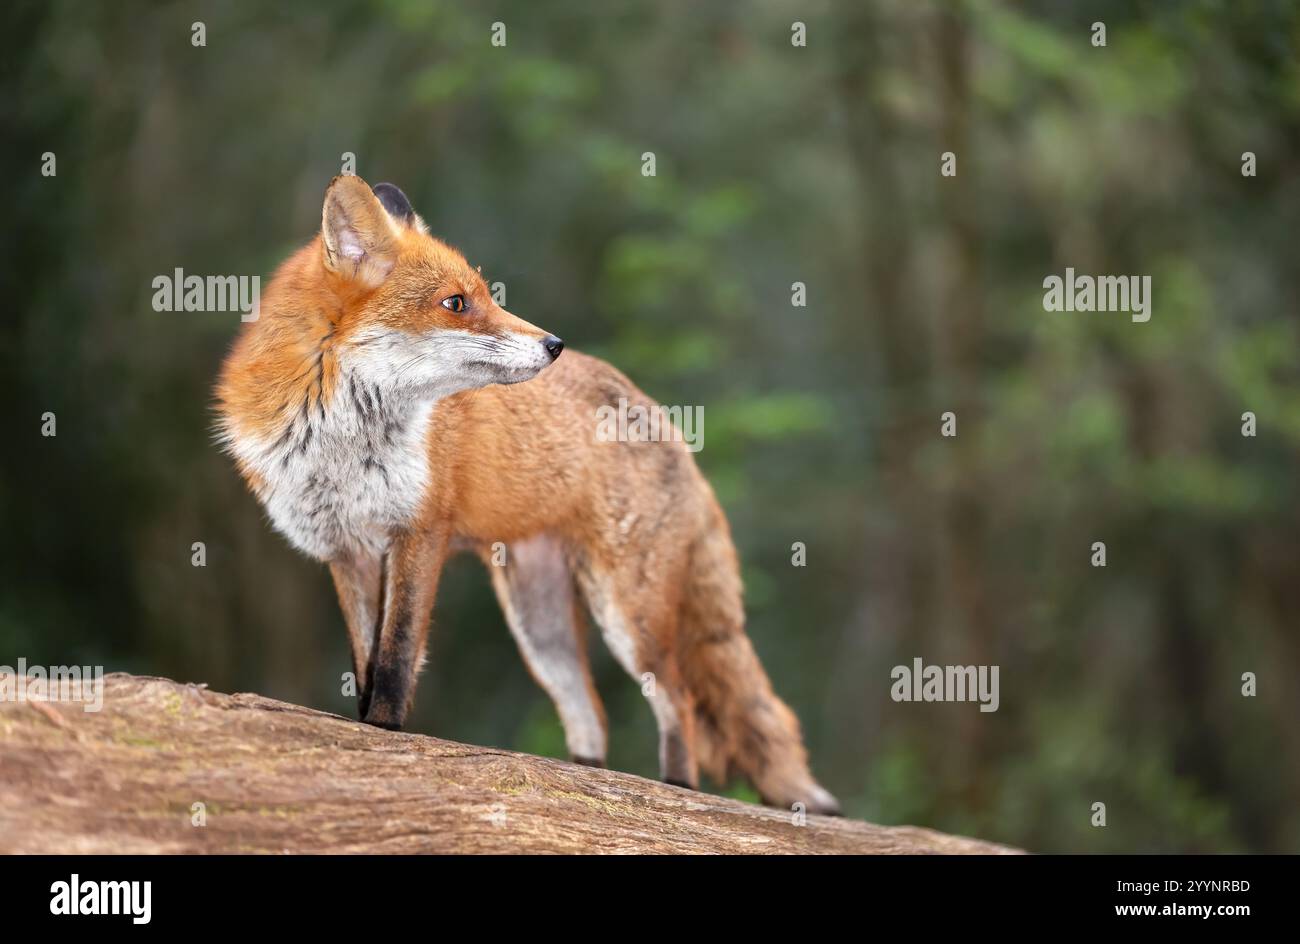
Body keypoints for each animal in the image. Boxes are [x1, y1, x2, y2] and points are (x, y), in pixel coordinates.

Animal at [215, 175, 839, 814]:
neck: (339, 440)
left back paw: (676, 790)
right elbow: (365, 662)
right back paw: (584, 788)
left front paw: (386, 736)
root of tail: (672, 425)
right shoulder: (346, 551)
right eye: (456, 303)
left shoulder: (420, 533)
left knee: (679, 700)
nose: (555, 343)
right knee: (591, 714)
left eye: (484, 295)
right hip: (540, 626)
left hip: (626, 614)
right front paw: (366, 732)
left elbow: (396, 657)